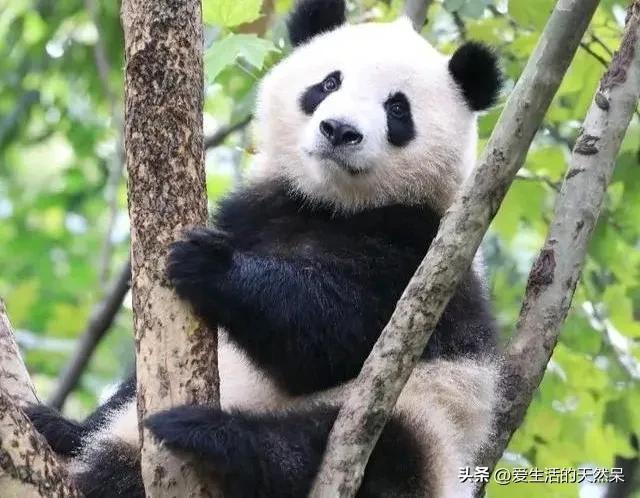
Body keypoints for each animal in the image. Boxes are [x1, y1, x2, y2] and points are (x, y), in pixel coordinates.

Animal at [26, 0, 502, 496]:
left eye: (397, 108)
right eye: (329, 83)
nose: (339, 131)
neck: (331, 205)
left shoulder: (419, 257)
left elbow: (334, 332)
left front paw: (211, 267)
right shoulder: (255, 211)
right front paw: (63, 426)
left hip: (423, 422)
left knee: (337, 448)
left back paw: (212, 439)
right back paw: (64, 432)